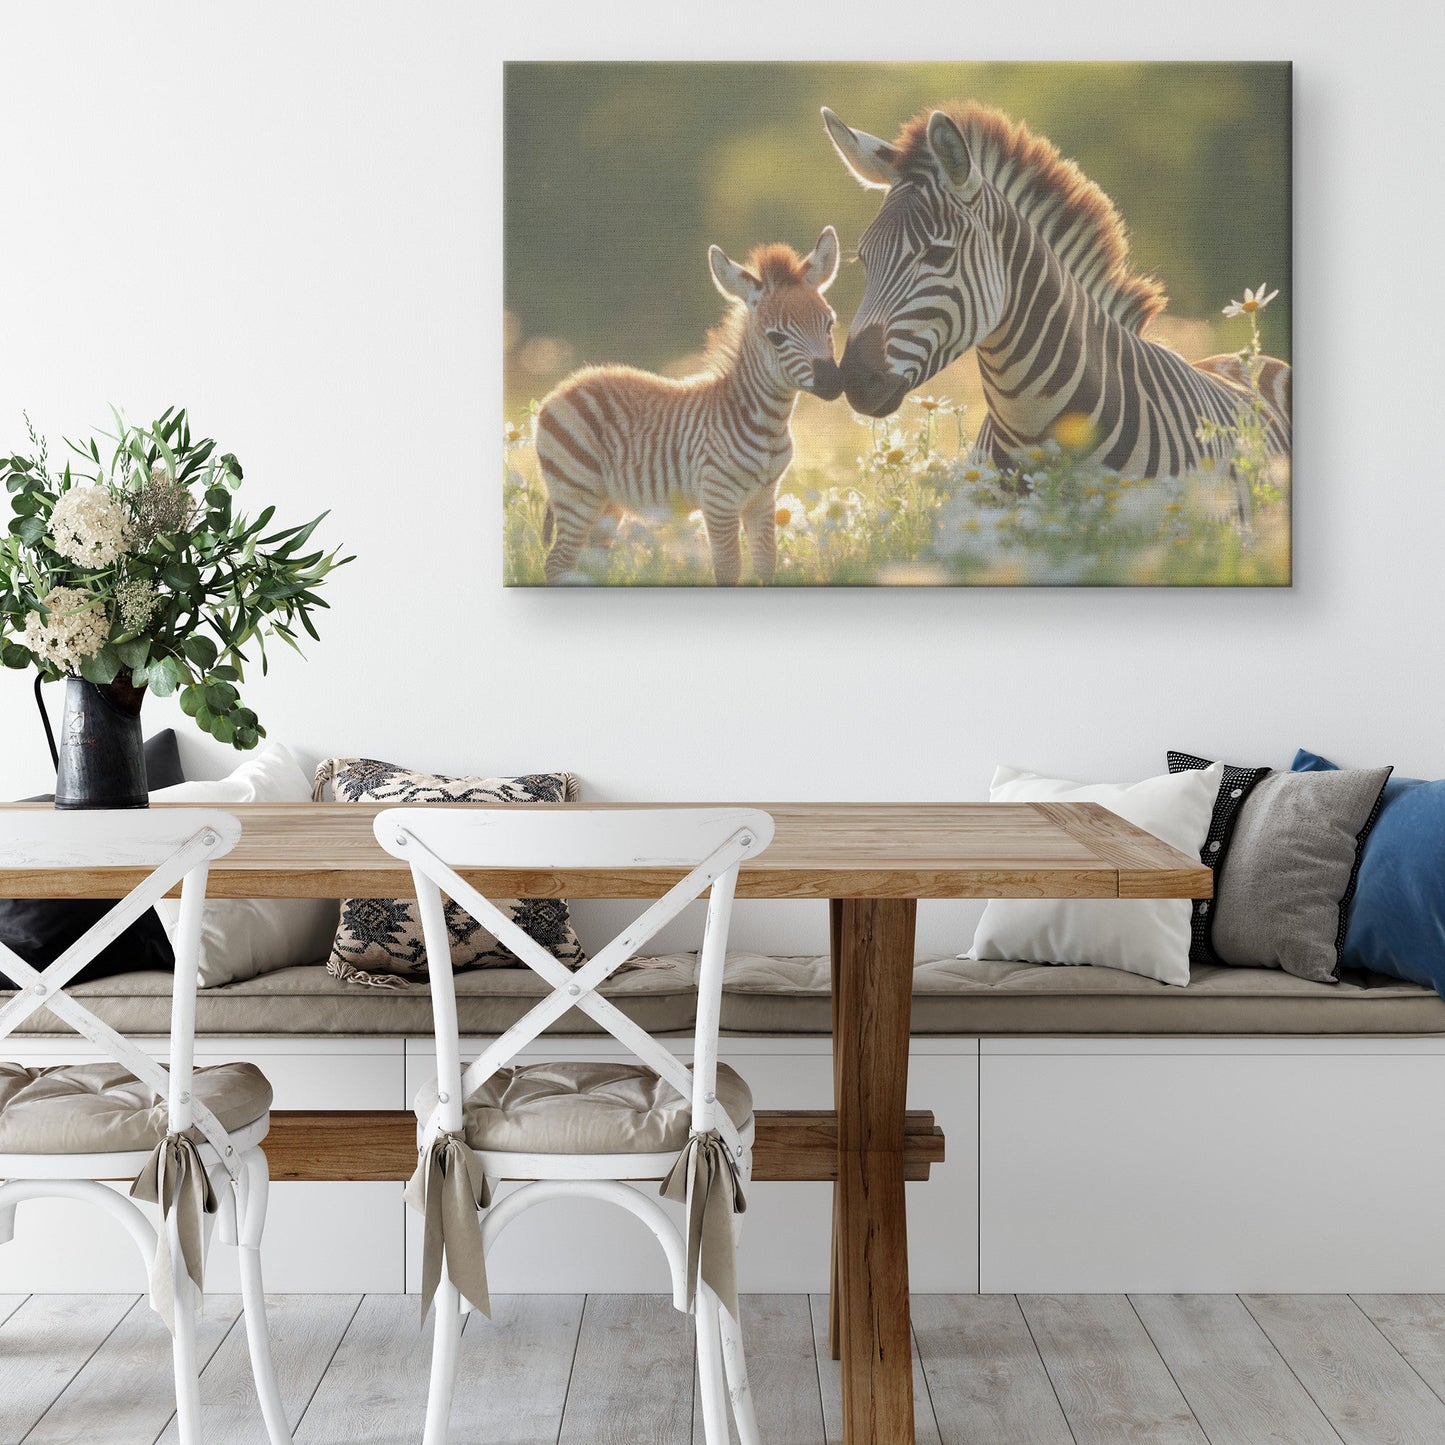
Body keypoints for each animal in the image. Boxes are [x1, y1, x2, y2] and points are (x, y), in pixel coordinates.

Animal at [534, 228, 843, 585]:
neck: (768, 422)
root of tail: (562, 388)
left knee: (590, 562)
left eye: (829, 324)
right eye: (776, 337)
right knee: (558, 562)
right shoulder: (718, 498)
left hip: (606, 502)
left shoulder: (763, 498)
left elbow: (767, 564)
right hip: (576, 490)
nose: (834, 382)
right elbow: (728, 568)